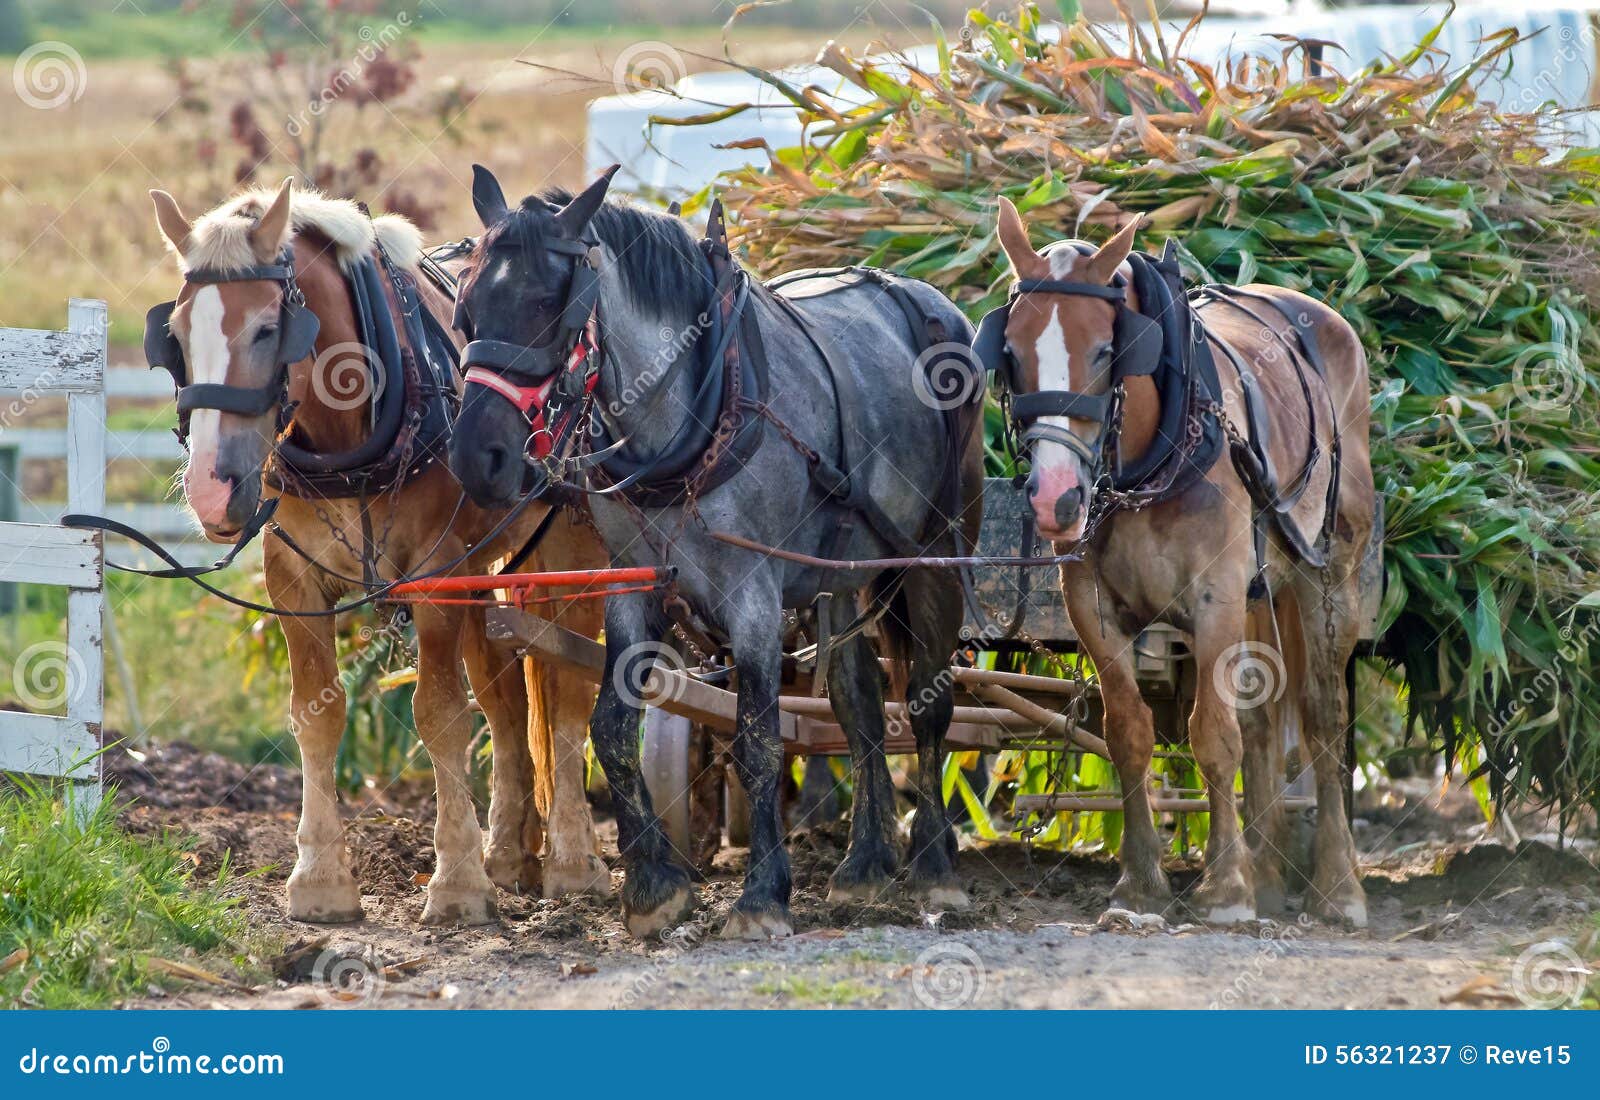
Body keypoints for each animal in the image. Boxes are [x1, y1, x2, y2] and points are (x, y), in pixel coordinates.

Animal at [146, 178, 612, 925]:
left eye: (268, 330)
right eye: (178, 334)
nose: (211, 492)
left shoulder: (435, 574)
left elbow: (440, 714)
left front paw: (455, 882)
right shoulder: (294, 580)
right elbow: (318, 715)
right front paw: (319, 879)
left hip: (571, 551)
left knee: (569, 692)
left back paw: (572, 861)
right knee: (506, 699)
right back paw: (510, 855)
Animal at [445, 165, 986, 939]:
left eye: (549, 303)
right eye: (463, 310)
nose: (476, 457)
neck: (692, 410)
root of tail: (933, 301)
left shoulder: (753, 594)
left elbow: (758, 738)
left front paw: (761, 897)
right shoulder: (633, 582)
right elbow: (614, 728)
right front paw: (656, 888)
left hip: (935, 553)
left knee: (926, 704)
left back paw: (936, 866)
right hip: (844, 573)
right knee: (858, 698)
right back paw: (865, 864)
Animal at [986, 198, 1374, 926]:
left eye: (1106, 350)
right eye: (1012, 353)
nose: (1055, 498)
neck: (1148, 459)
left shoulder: (1216, 595)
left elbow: (1211, 735)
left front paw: (1224, 890)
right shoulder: (1092, 608)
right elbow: (1130, 733)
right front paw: (1141, 883)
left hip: (1328, 572)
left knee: (1320, 716)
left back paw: (1337, 887)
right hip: (1260, 593)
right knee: (1261, 720)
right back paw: (1269, 876)